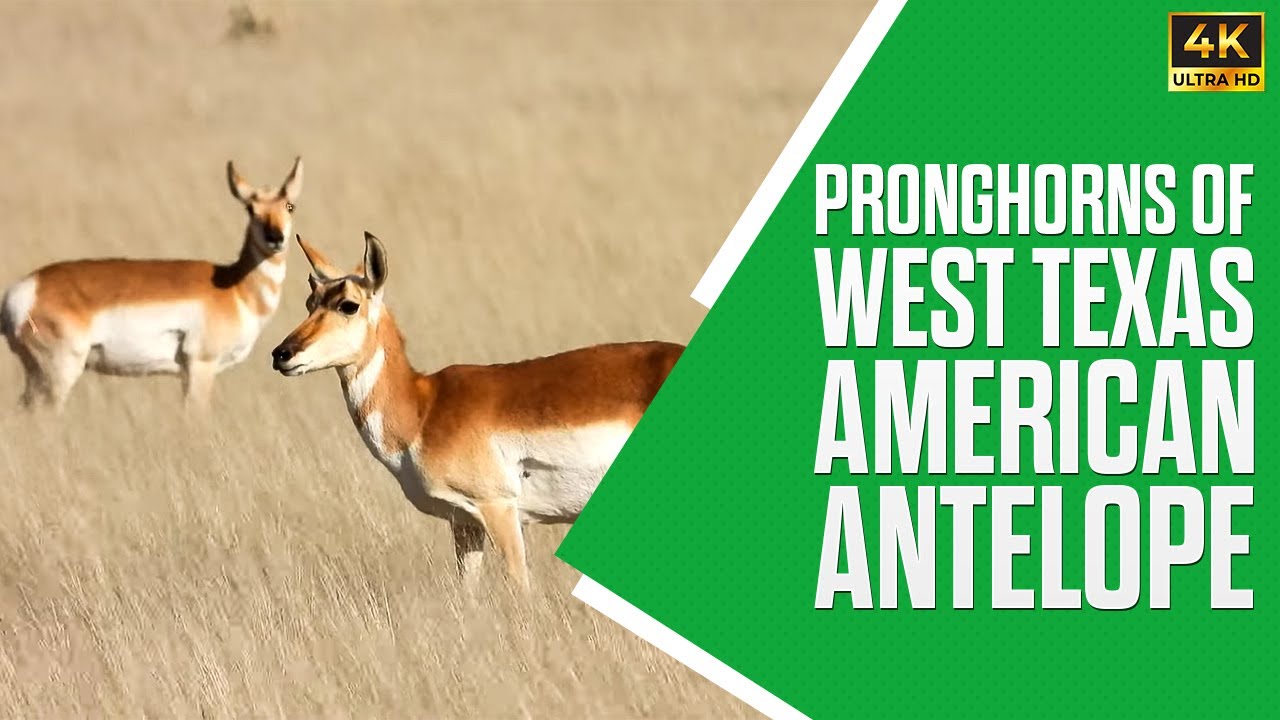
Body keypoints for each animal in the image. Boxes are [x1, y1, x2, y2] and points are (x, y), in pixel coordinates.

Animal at [1, 158, 303, 411]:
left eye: (289, 206)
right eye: (251, 208)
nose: (275, 238)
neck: (234, 287)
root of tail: (25, 290)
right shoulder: (201, 366)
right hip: (59, 374)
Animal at [271, 232, 682, 590]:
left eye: (348, 304)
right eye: (310, 302)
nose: (281, 354)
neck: (424, 408)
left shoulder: (499, 510)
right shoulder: (465, 525)